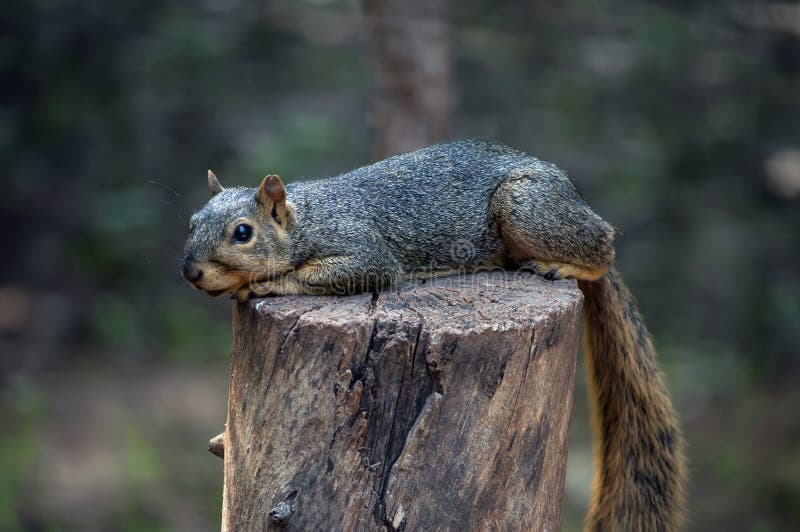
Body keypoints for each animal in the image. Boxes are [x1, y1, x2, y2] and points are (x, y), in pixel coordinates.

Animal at [182, 139, 686, 531]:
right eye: (191, 222)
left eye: (242, 233)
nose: (190, 272)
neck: (306, 217)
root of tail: (568, 191)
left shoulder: (364, 250)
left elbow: (341, 272)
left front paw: (263, 284)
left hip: (527, 207)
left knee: (602, 248)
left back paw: (561, 264)